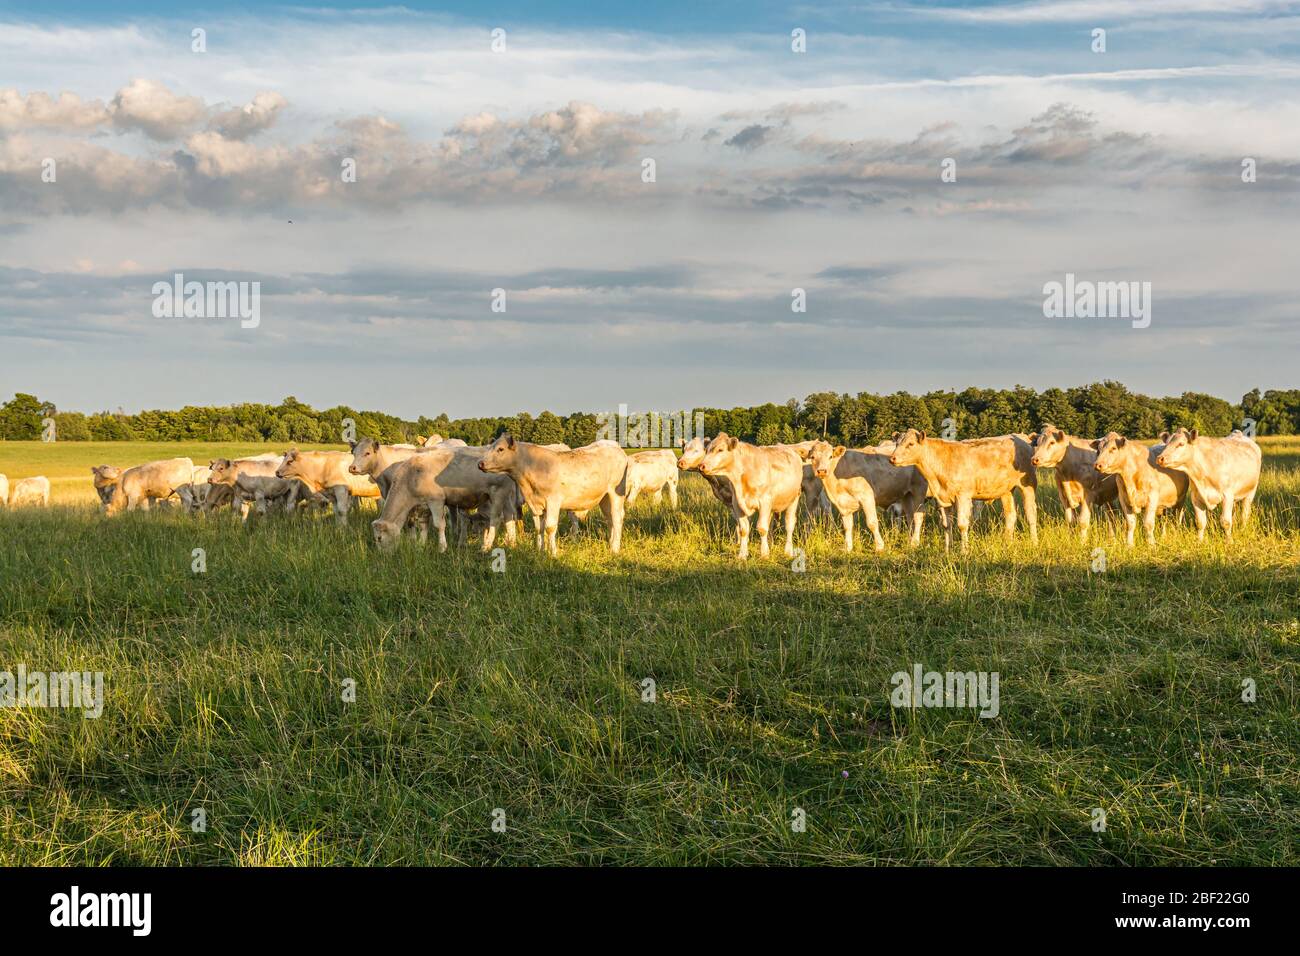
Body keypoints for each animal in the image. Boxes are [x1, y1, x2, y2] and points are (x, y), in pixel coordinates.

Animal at [371, 448, 520, 552]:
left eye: (379, 538)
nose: (383, 557)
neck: (411, 477)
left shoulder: (436, 501)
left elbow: (439, 524)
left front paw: (442, 547)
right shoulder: (424, 505)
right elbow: (424, 525)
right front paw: (420, 545)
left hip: (498, 493)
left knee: (496, 519)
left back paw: (486, 546)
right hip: (506, 496)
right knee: (509, 517)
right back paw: (512, 543)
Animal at [477, 434, 629, 556]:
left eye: (500, 449)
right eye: (489, 448)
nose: (480, 464)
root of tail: (616, 447)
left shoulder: (553, 501)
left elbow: (550, 527)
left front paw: (553, 553)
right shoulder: (535, 504)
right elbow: (539, 528)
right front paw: (540, 550)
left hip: (616, 492)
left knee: (617, 517)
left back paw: (615, 549)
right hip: (604, 497)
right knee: (609, 518)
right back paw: (611, 542)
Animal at [889, 429, 1038, 553]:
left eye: (911, 444)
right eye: (897, 444)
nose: (892, 458)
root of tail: (1021, 437)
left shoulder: (963, 496)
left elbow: (962, 524)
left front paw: (964, 551)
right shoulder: (942, 499)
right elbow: (946, 525)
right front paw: (947, 551)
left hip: (1028, 484)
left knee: (1031, 513)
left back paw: (1033, 541)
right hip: (1006, 490)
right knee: (1010, 515)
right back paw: (1008, 543)